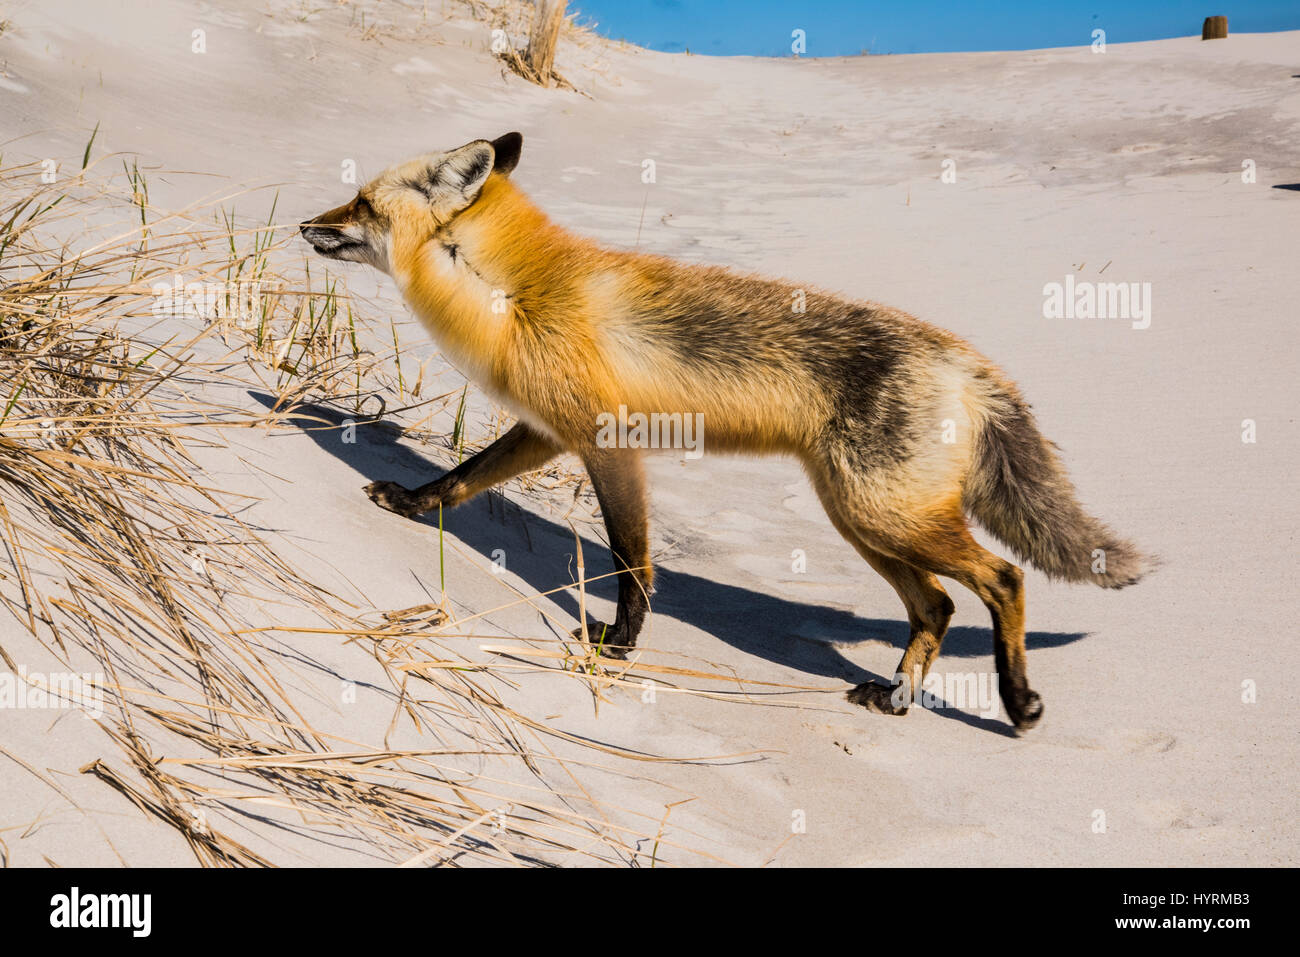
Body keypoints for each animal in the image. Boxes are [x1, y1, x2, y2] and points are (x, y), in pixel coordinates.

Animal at [301, 132, 1151, 732]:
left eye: (361, 202)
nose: (306, 222)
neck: (511, 290)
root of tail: (969, 360)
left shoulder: (608, 445)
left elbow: (632, 562)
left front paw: (620, 645)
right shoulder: (548, 431)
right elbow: (458, 478)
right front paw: (407, 502)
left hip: (885, 515)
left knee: (1004, 579)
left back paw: (1017, 701)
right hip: (865, 521)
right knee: (938, 607)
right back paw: (897, 696)